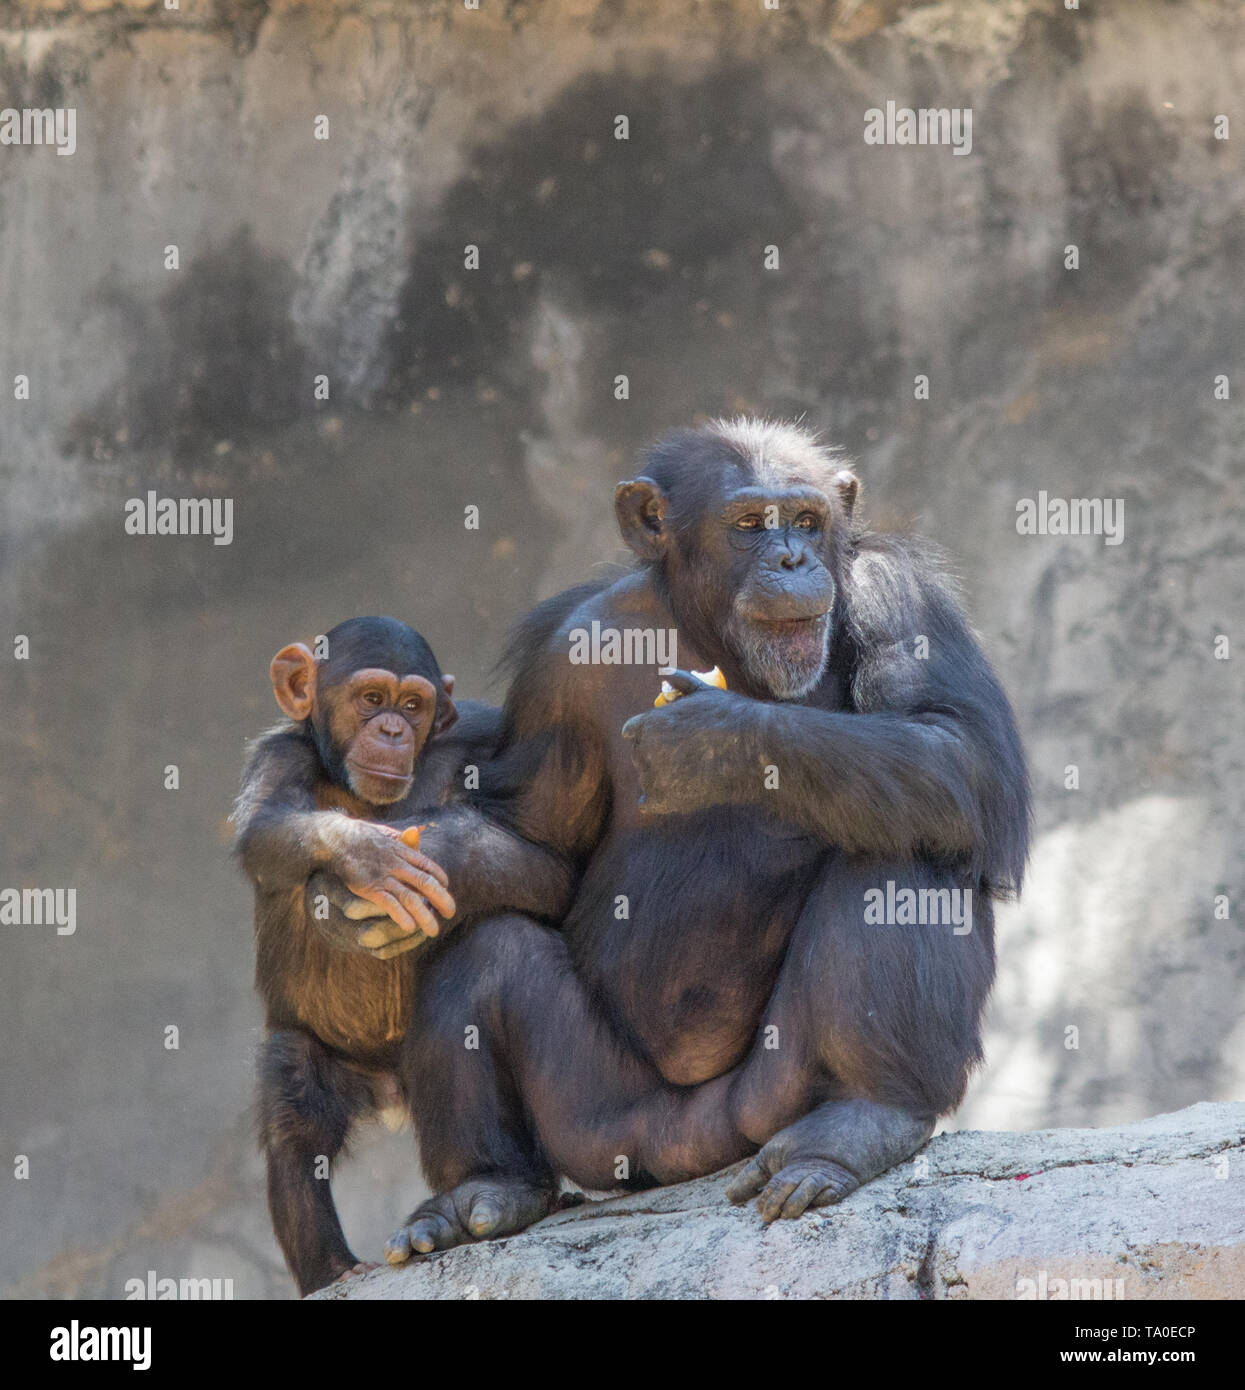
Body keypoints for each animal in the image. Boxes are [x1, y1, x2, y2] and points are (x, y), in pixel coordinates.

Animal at [234, 619, 572, 1289]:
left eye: (412, 705)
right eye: (371, 698)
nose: (391, 730)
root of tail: (392, 1091)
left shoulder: (480, 734)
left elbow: (545, 856)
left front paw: (448, 856)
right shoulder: (278, 757)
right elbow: (268, 823)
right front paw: (362, 863)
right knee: (293, 1104)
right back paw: (332, 1270)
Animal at [323, 419, 1033, 1262]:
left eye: (806, 520)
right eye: (750, 525)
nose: (791, 561)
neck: (706, 629)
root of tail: (691, 1146)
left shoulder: (901, 594)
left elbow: (957, 748)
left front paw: (715, 742)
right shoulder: (565, 658)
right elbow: (541, 842)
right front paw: (437, 861)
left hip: (769, 1093)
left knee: (912, 839)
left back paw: (860, 1121)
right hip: (597, 1121)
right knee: (481, 948)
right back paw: (480, 1190)